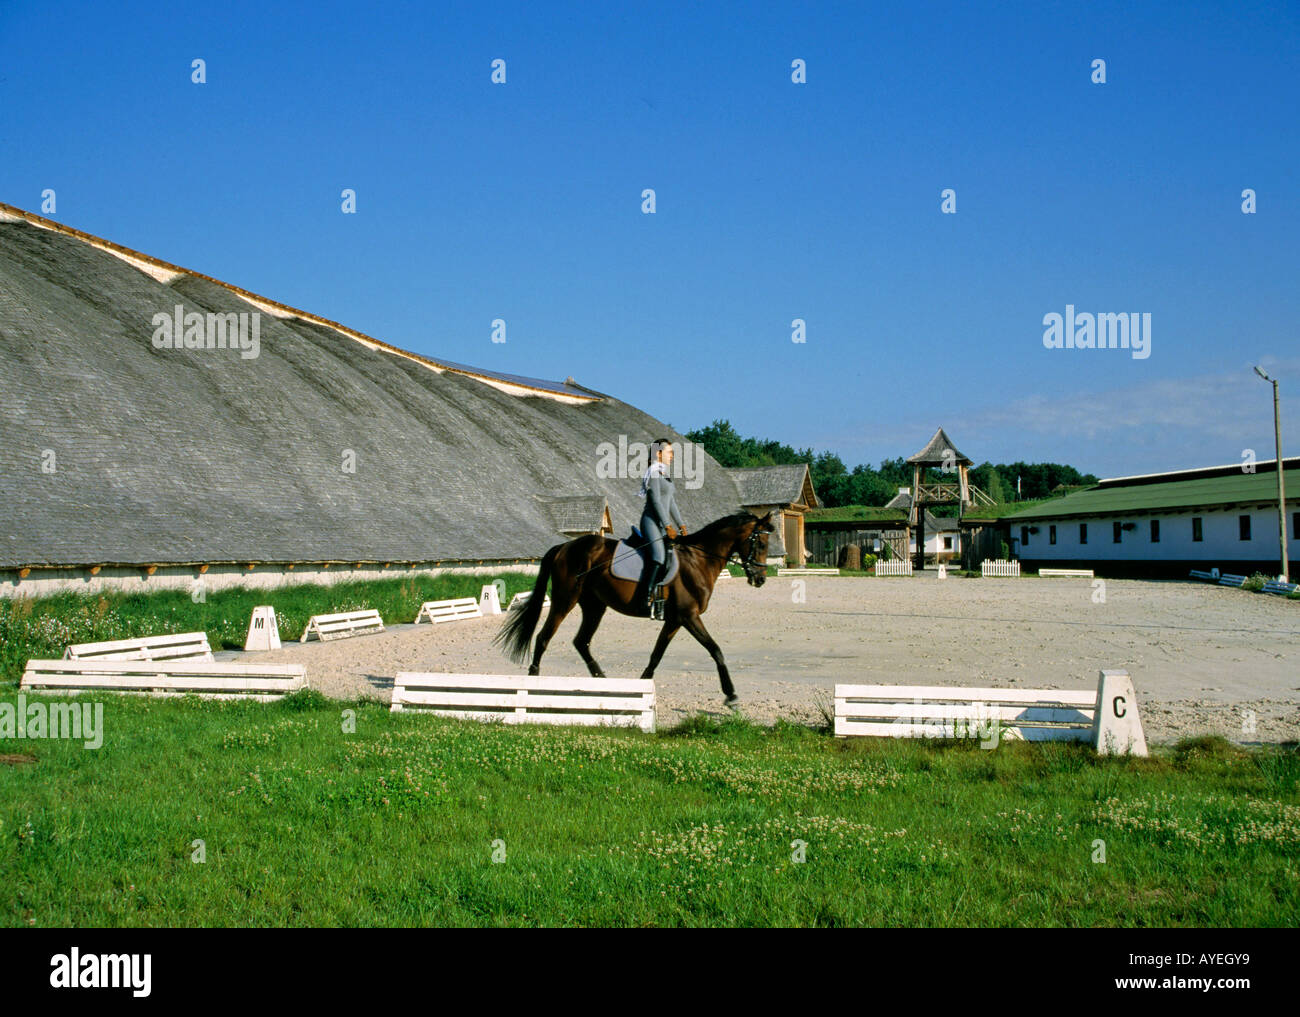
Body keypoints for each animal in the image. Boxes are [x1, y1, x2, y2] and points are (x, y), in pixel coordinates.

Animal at [494, 511, 775, 707]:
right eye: (761, 544)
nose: (761, 580)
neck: (698, 560)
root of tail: (564, 547)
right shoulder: (688, 616)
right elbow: (715, 650)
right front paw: (731, 695)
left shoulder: (674, 620)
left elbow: (656, 655)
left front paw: (641, 687)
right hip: (565, 600)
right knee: (543, 637)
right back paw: (533, 683)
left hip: (595, 606)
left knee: (581, 641)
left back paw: (605, 683)